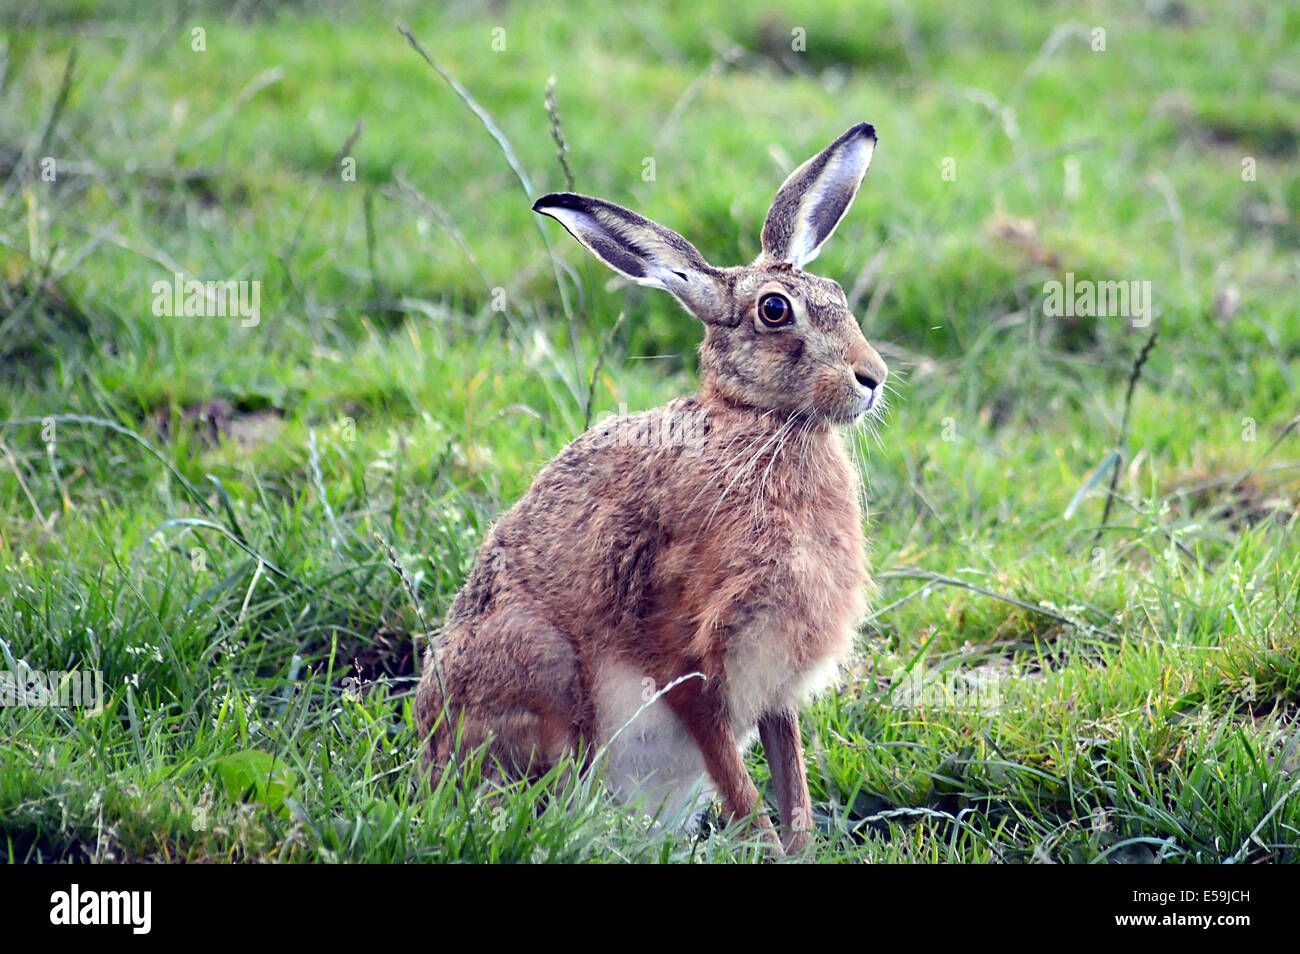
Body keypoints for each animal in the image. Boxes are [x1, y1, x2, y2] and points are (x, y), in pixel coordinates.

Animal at [415, 122, 888, 856]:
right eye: (774, 312)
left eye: (838, 294)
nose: (873, 377)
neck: (759, 424)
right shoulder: (687, 658)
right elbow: (743, 790)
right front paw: (764, 848)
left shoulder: (777, 679)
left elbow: (793, 785)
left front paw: (802, 849)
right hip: (543, 668)